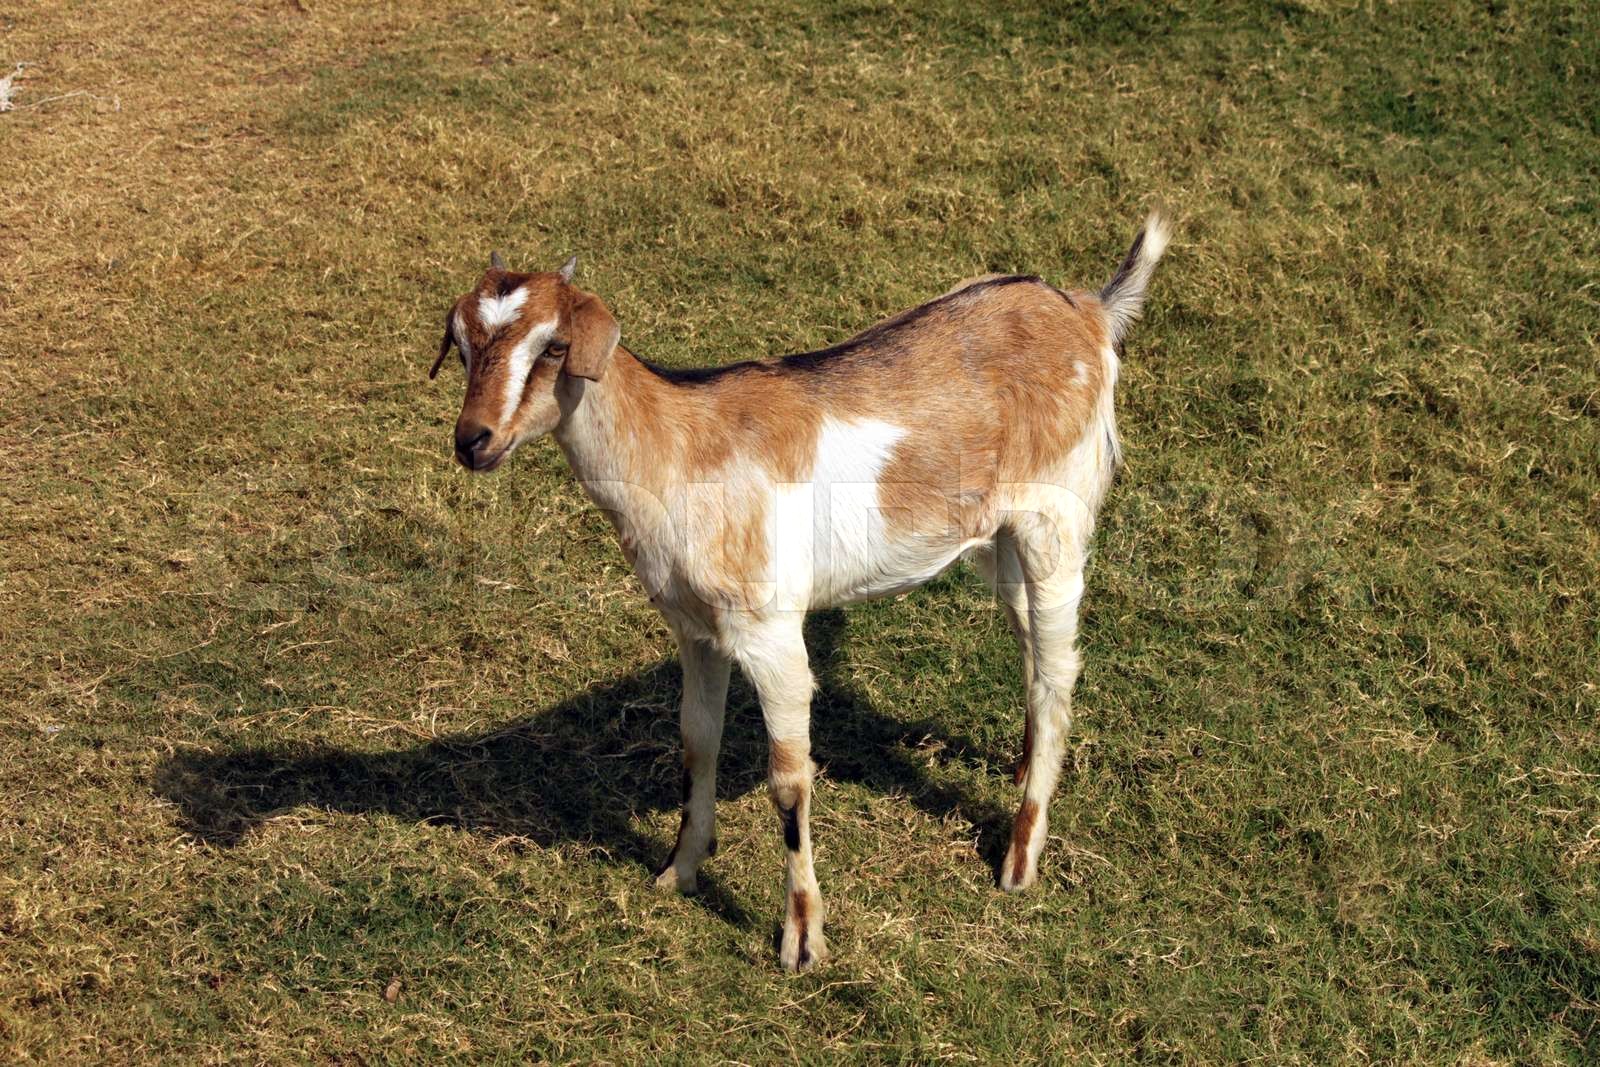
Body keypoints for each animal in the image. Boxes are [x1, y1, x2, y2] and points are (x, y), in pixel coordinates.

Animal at [429, 213, 1171, 970]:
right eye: (461, 344)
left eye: (553, 347)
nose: (473, 440)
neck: (676, 449)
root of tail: (1086, 311)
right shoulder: (695, 627)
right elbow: (696, 741)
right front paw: (678, 870)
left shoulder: (772, 633)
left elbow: (788, 782)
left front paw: (801, 936)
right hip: (999, 538)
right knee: (1032, 641)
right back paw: (1021, 769)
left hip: (1058, 519)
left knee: (1058, 670)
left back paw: (1020, 855)